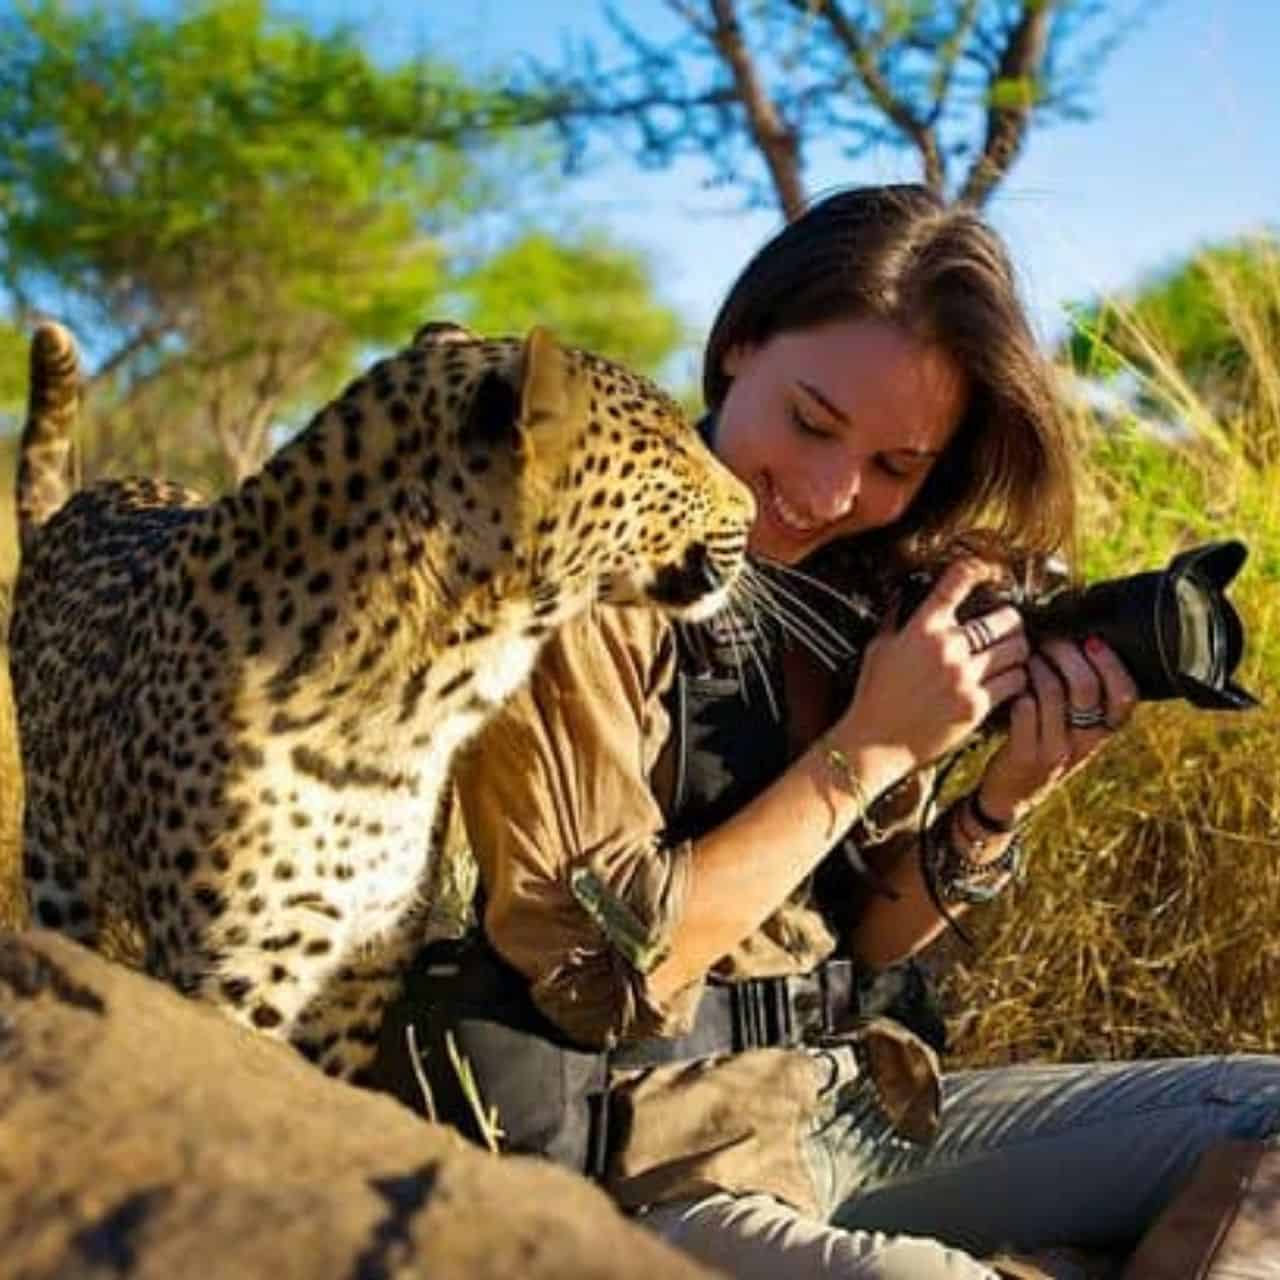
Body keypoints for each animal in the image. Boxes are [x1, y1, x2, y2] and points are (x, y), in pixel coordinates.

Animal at [10, 318, 755, 1079]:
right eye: (669, 445)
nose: (752, 507)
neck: (416, 697)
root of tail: (81, 501)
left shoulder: (362, 974)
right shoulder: (231, 973)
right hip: (59, 871)